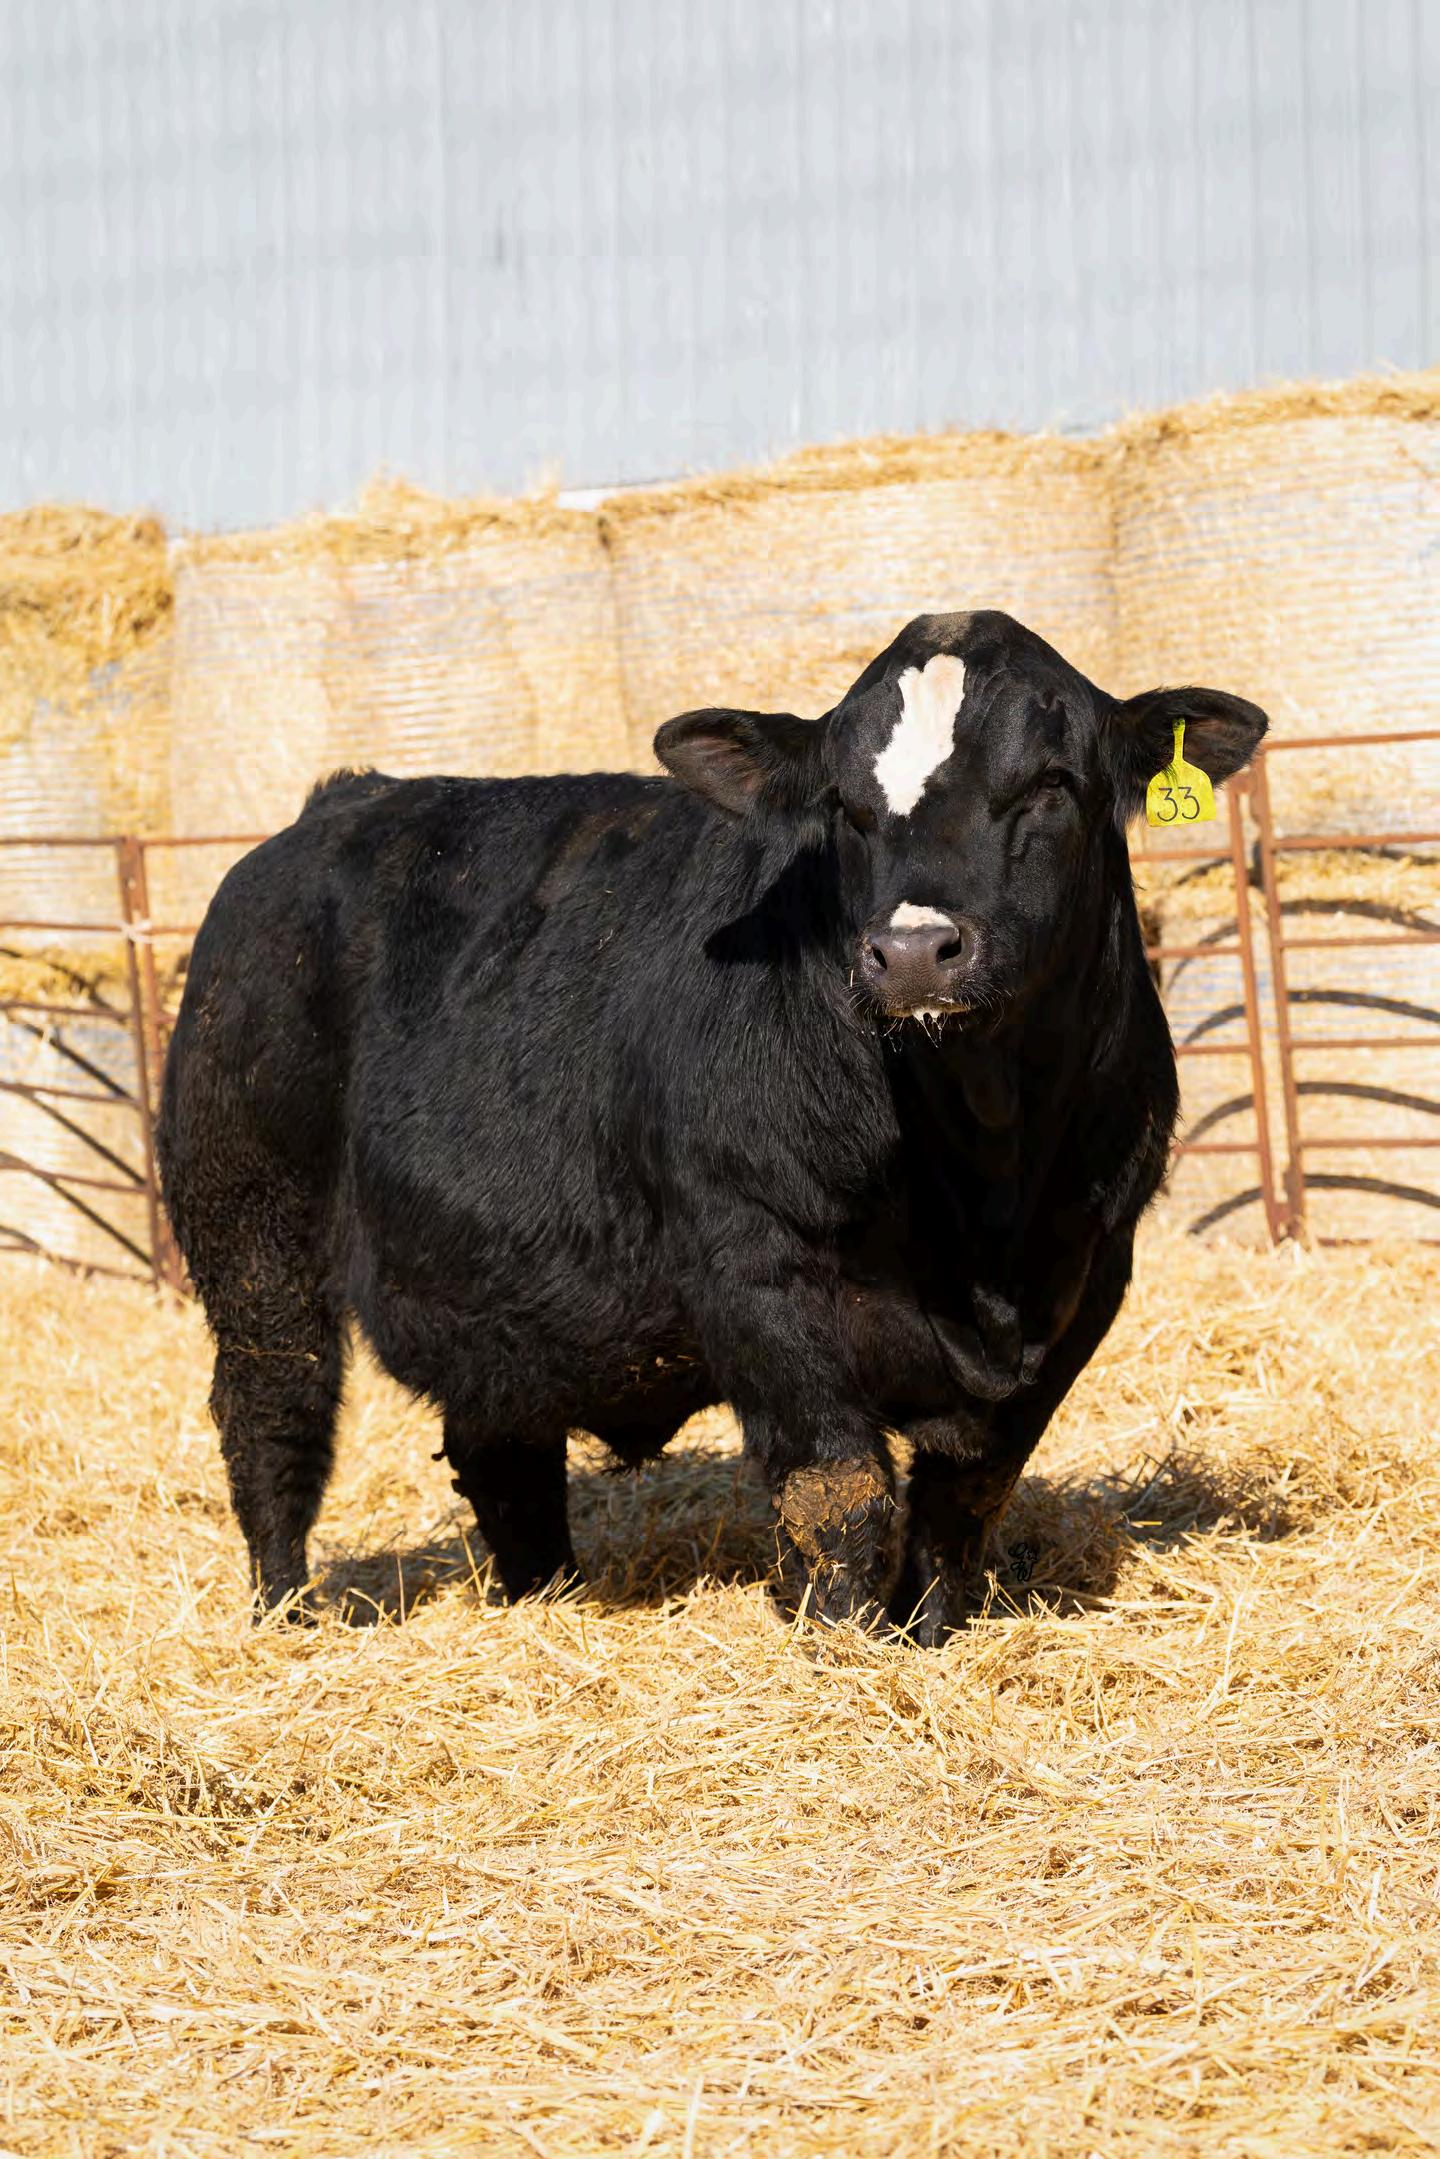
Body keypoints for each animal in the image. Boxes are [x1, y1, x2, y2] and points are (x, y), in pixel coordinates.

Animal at [157, 611, 1266, 1640]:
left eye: (1048, 785)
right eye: (844, 807)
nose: (911, 952)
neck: (984, 1178)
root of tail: (343, 799)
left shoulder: (1085, 1281)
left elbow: (962, 1506)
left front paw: (931, 1635)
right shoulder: (758, 1272)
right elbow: (840, 1499)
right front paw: (854, 1655)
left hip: (486, 1284)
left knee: (503, 1454)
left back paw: (546, 1600)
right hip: (254, 1232)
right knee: (274, 1418)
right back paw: (286, 1618)